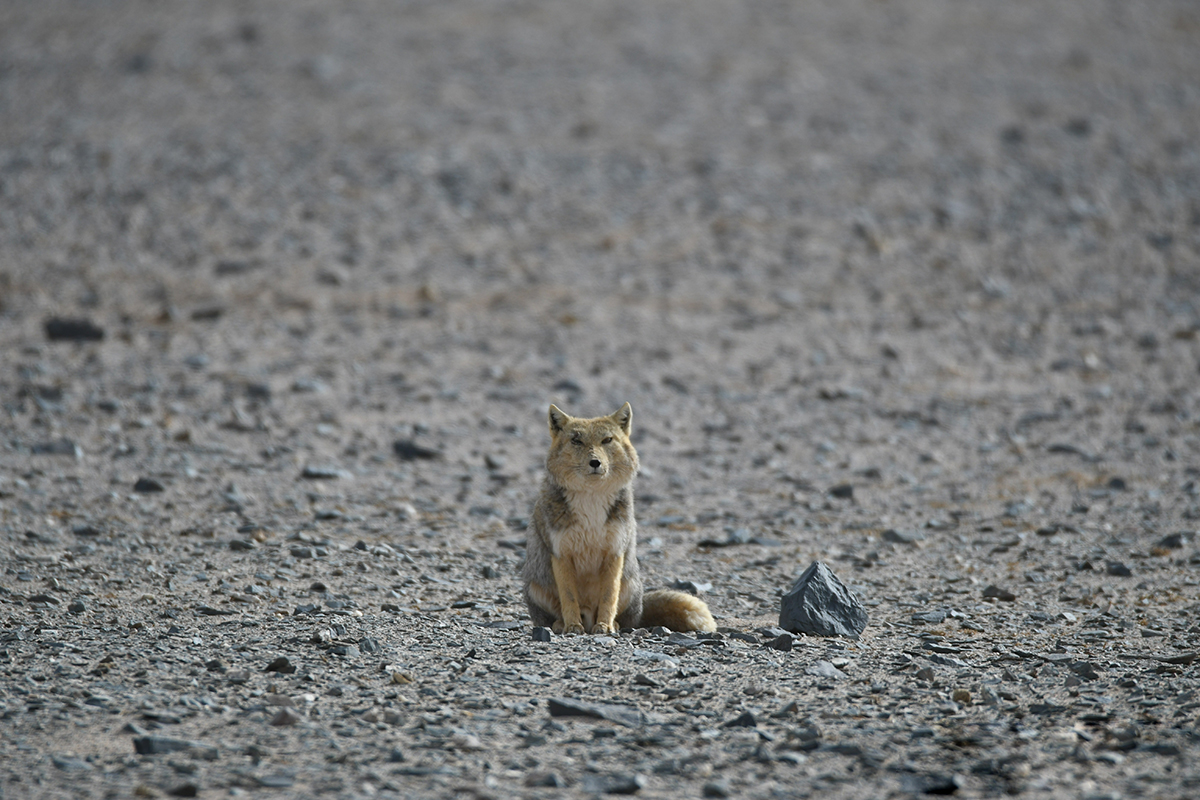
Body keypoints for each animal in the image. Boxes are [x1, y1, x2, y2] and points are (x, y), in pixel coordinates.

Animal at [522, 402, 716, 635]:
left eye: (607, 440)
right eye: (577, 441)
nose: (595, 462)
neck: (591, 503)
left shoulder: (615, 551)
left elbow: (609, 596)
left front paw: (605, 626)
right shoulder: (561, 554)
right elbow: (569, 597)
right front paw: (573, 626)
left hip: (630, 583)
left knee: (626, 619)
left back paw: (611, 624)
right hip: (536, 586)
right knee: (550, 617)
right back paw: (562, 624)